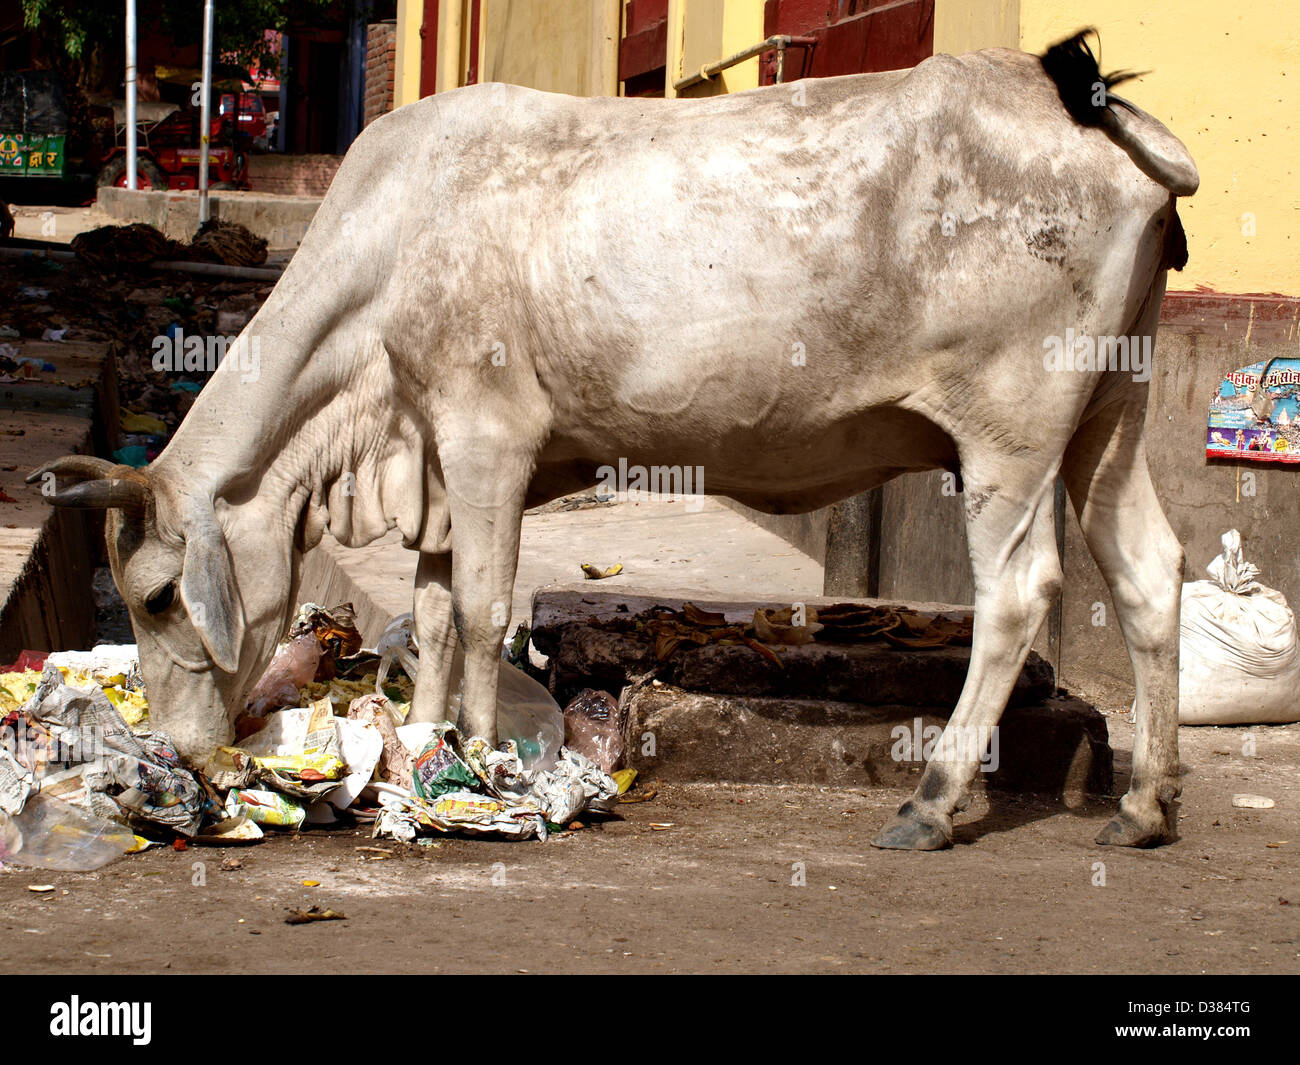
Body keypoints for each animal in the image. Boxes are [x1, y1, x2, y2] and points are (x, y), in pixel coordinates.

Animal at [31, 31, 1197, 850]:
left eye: (157, 595)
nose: (183, 752)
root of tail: (1086, 110)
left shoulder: (485, 435)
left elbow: (481, 609)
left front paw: (476, 758)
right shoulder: (436, 462)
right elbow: (433, 612)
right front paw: (421, 751)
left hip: (1009, 431)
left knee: (1019, 593)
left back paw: (935, 799)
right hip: (1109, 412)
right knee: (1148, 572)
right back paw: (1143, 804)